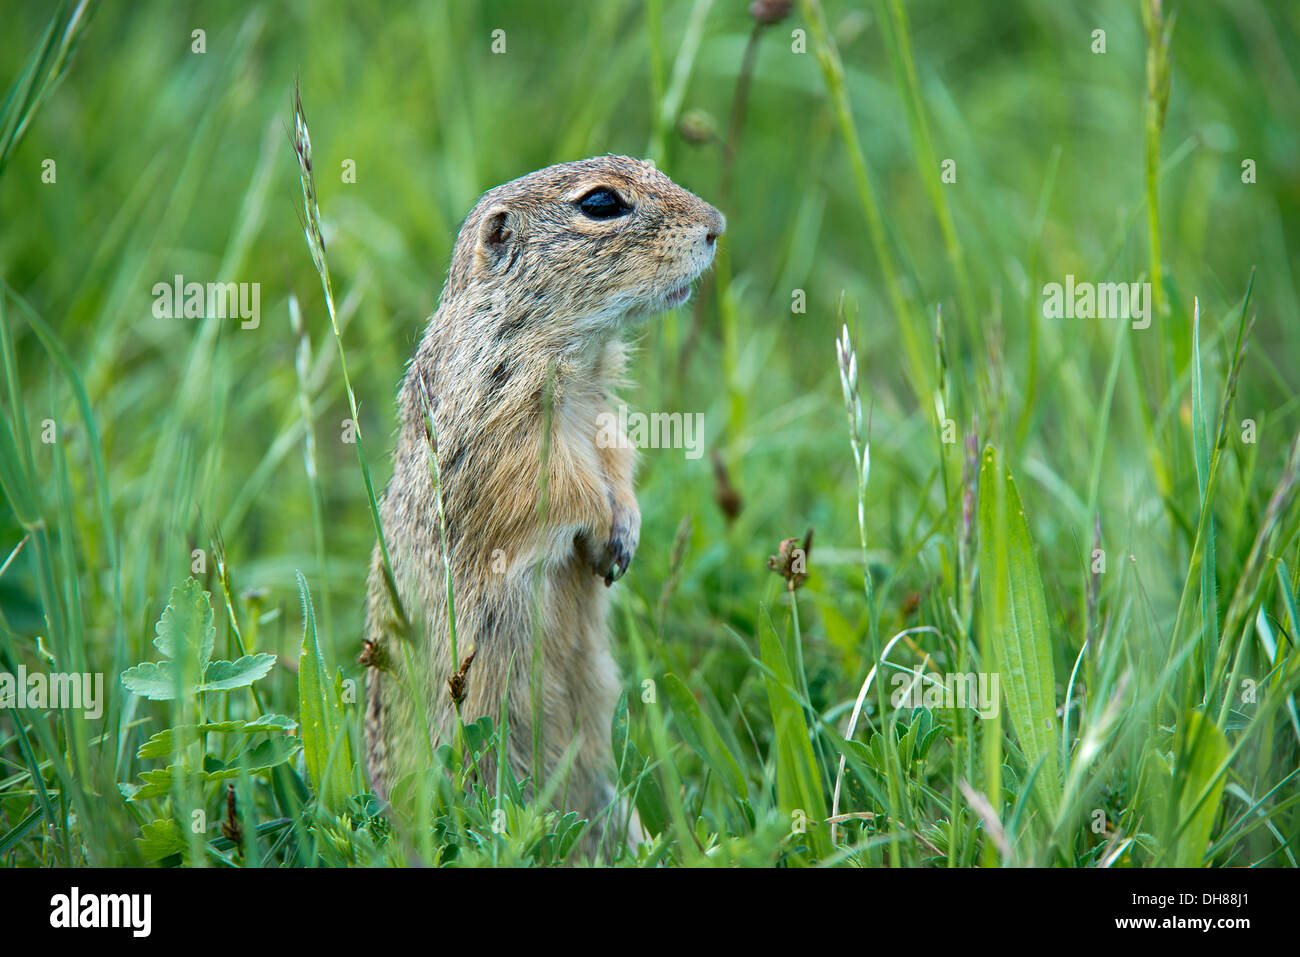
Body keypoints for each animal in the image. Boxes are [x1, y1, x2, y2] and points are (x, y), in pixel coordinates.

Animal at [363, 155, 724, 855]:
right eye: (602, 204)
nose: (717, 226)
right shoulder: (511, 433)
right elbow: (561, 490)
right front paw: (607, 532)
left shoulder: (606, 420)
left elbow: (617, 466)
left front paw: (626, 531)